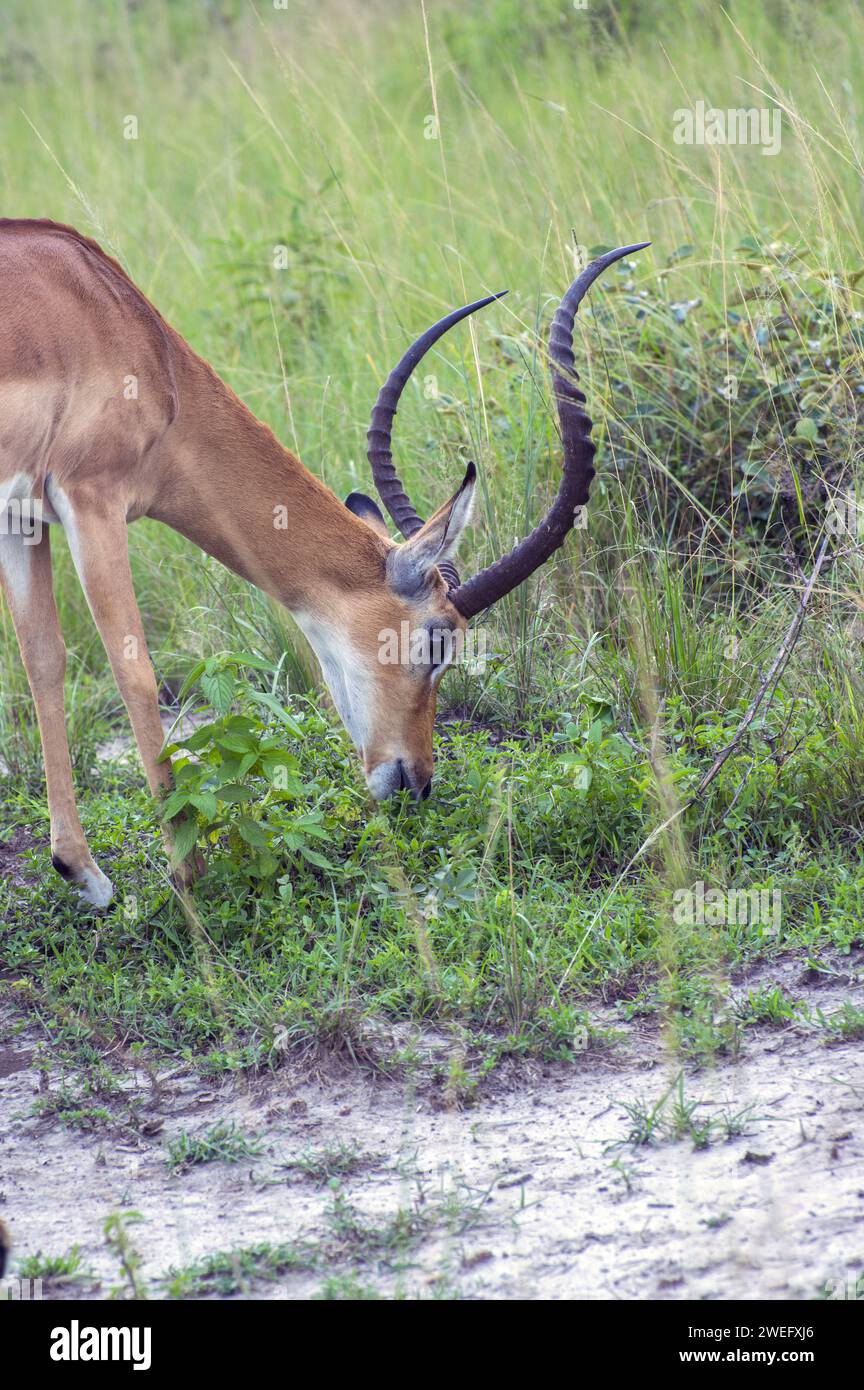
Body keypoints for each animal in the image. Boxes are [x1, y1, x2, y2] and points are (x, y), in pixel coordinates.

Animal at [0, 218, 647, 908]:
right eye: (440, 640)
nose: (417, 782)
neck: (127, 332)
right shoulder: (92, 501)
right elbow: (135, 672)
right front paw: (188, 873)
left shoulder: (21, 520)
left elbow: (43, 658)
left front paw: (80, 871)